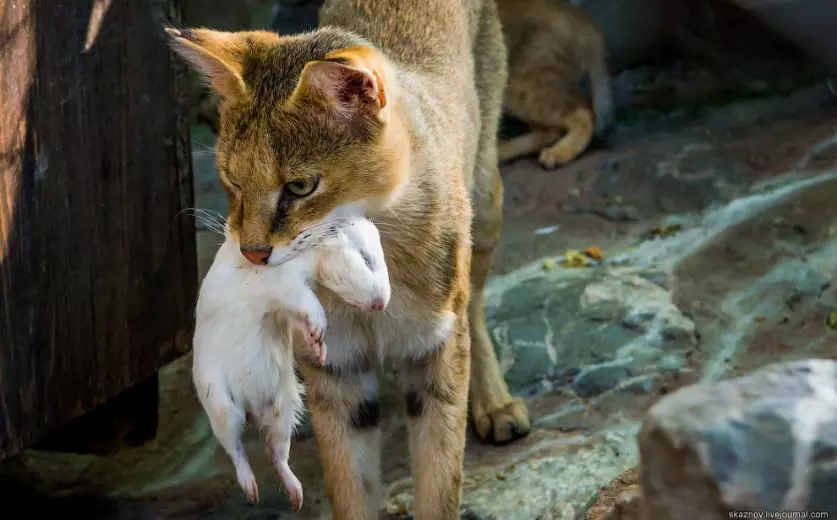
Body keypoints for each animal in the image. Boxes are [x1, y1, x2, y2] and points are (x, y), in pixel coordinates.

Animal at [193, 217, 392, 510]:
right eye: (366, 258)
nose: (382, 303)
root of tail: (252, 409)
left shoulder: (288, 306)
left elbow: (305, 321)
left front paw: (320, 350)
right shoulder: (289, 286)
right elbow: (313, 309)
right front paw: (320, 338)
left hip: (284, 408)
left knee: (275, 454)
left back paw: (296, 497)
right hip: (222, 405)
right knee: (236, 450)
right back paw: (253, 492)